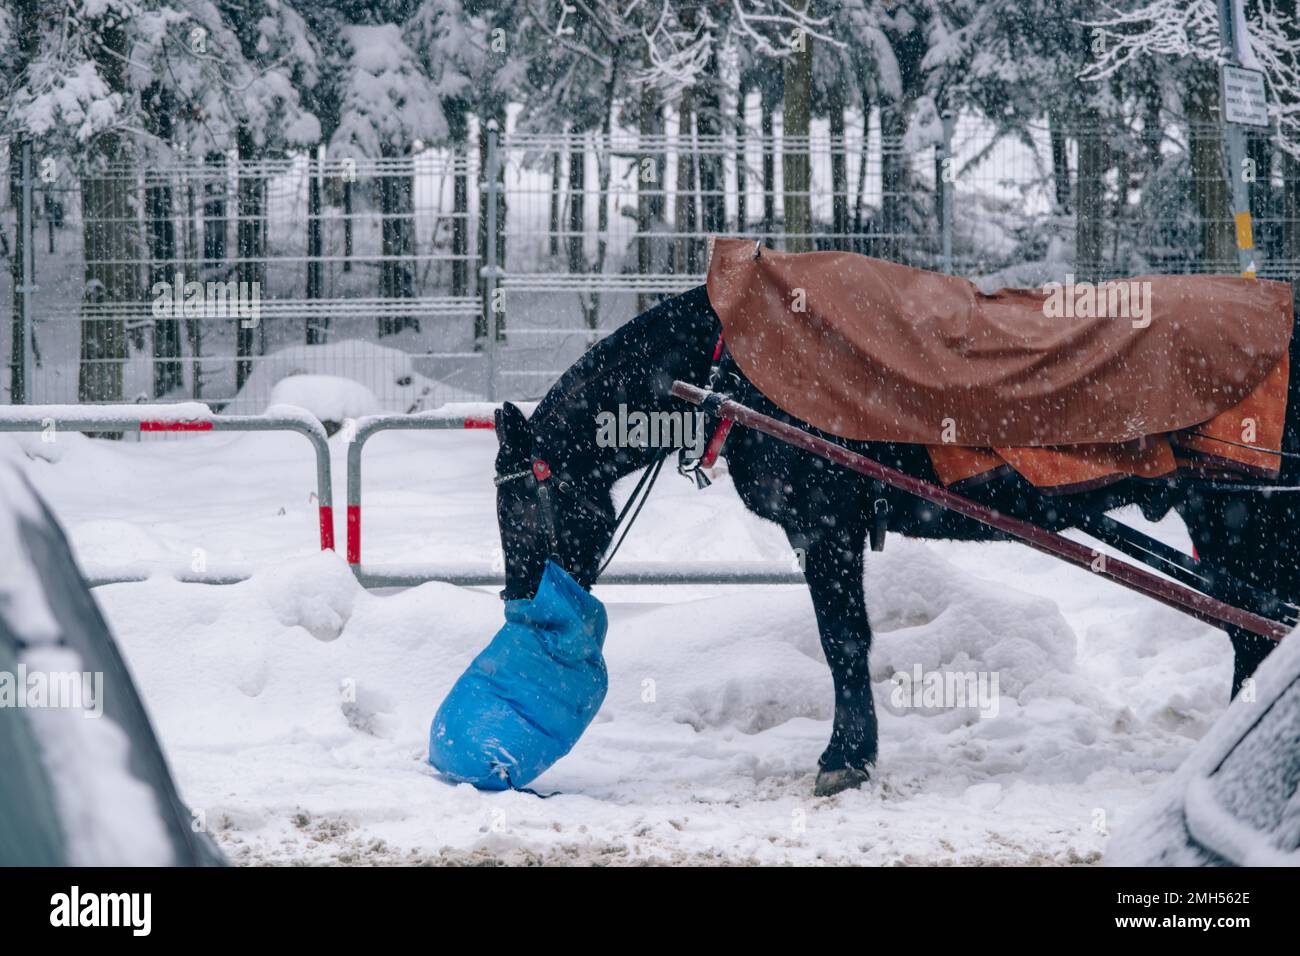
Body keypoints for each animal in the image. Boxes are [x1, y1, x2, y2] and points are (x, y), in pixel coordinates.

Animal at [492, 284, 1298, 796]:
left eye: (518, 511)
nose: (518, 603)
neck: (733, 369)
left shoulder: (825, 527)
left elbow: (844, 640)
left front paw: (847, 756)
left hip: (1245, 521)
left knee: (1256, 635)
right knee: (1254, 635)